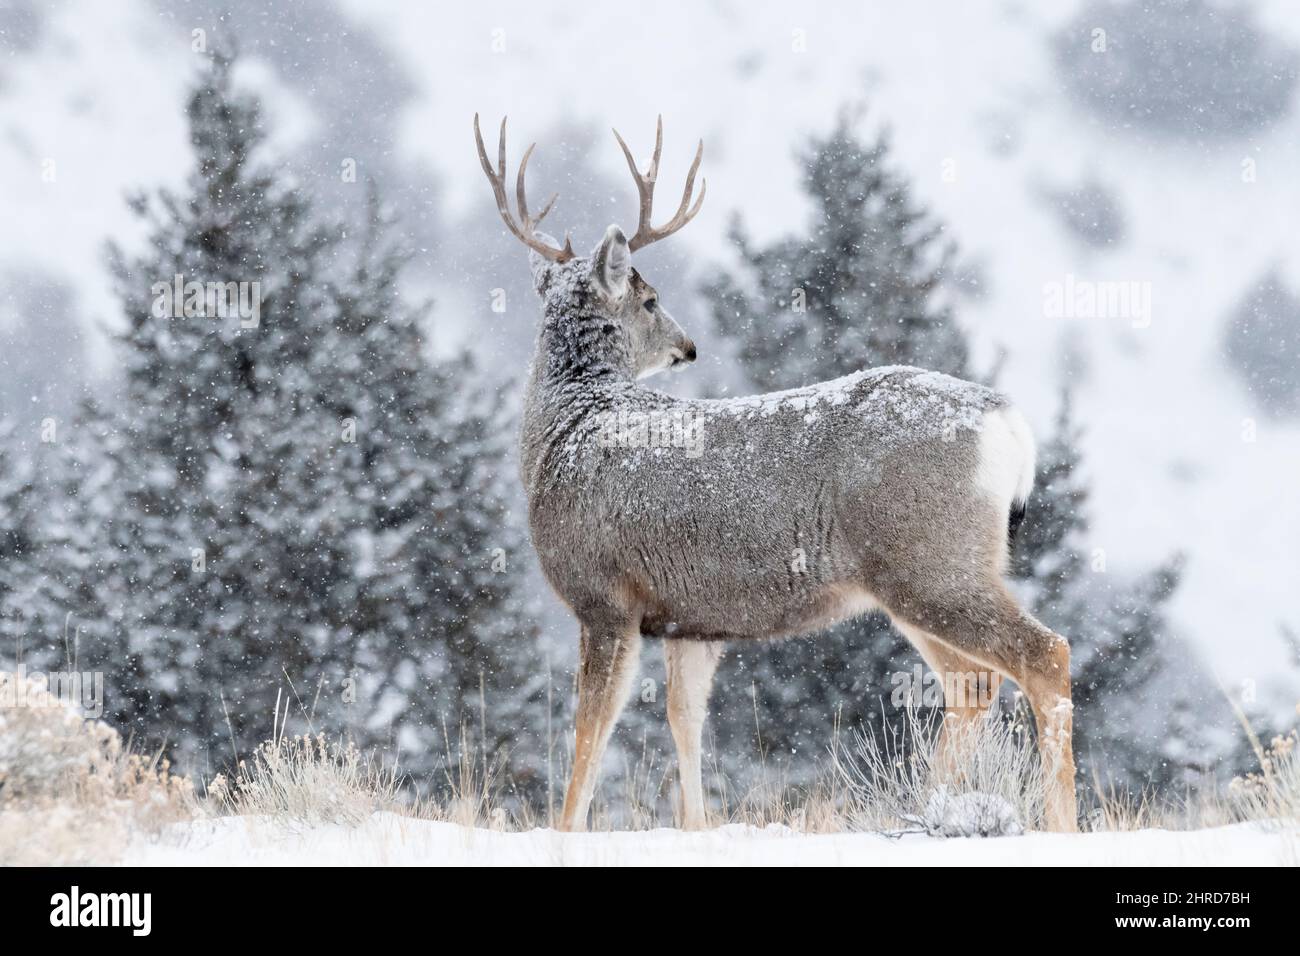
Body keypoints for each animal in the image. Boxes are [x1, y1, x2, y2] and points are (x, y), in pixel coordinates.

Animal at [473, 114, 1078, 834]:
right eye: (651, 301)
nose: (688, 347)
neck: (569, 428)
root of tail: (1007, 423)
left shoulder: (604, 596)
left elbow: (590, 730)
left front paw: (564, 831)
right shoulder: (689, 621)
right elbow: (685, 720)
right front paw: (696, 827)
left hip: (930, 560)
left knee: (1043, 656)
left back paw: (1051, 823)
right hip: (920, 574)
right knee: (974, 681)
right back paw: (928, 806)